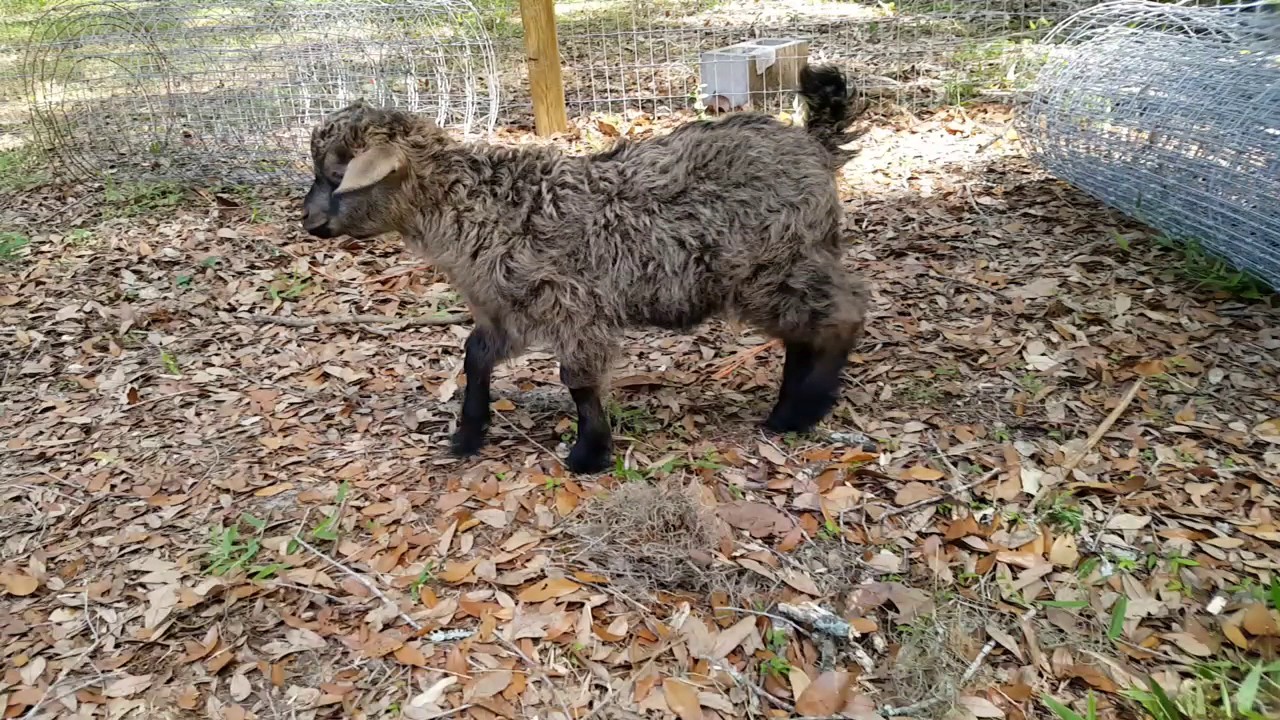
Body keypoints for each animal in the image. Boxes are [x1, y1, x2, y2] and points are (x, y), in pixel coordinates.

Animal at [301, 64, 868, 474]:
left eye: (336, 174)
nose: (308, 221)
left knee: (843, 315)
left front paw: (589, 453)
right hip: (783, 267)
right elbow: (475, 355)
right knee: (804, 330)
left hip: (773, 262)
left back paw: (801, 410)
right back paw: (787, 408)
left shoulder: (571, 303)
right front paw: (468, 434)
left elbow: (577, 378)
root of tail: (815, 144)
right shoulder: (510, 310)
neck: (476, 205)